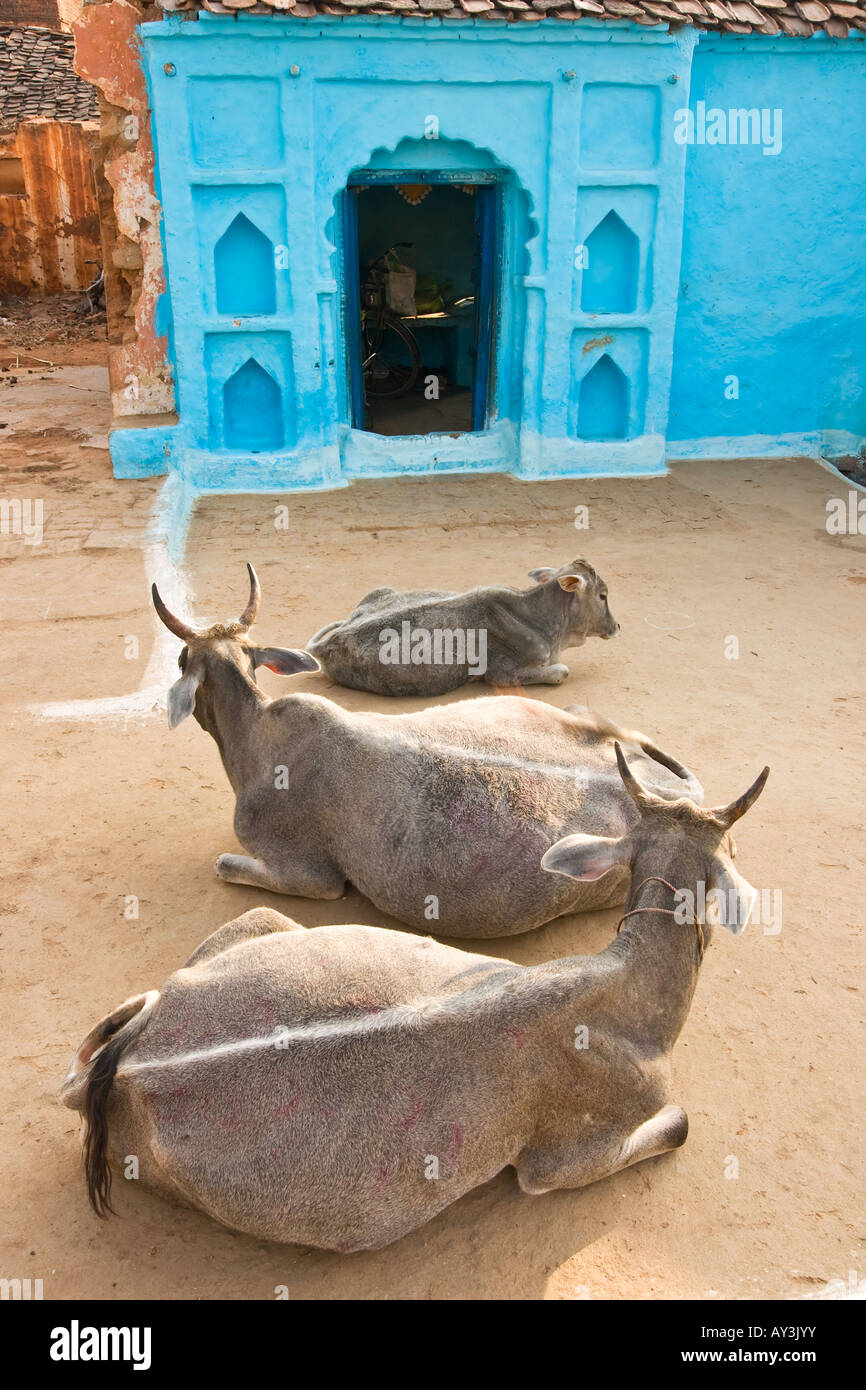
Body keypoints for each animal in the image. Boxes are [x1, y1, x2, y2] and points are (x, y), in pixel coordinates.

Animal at [62, 748, 768, 1252]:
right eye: (732, 850)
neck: (625, 987)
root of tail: (123, 1070)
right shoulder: (562, 1160)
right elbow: (679, 1125)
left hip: (258, 925)